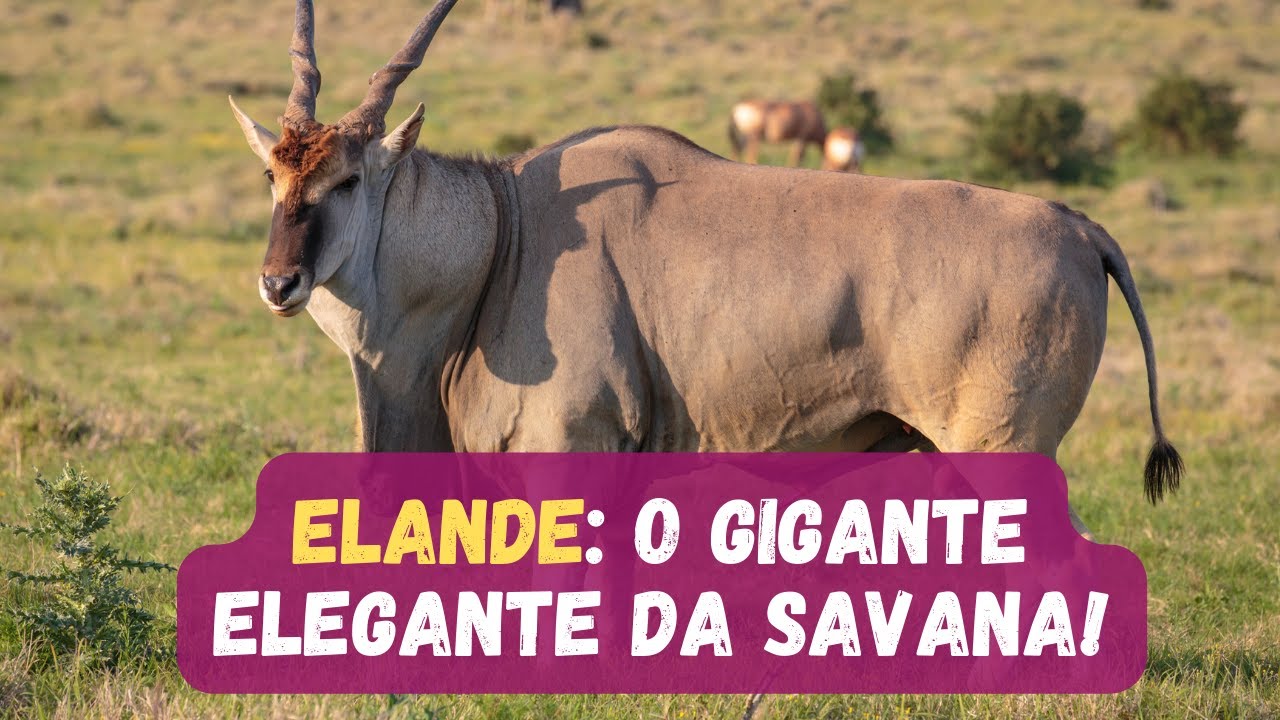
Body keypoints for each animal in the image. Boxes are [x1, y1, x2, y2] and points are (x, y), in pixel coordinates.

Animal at [229, 0, 1183, 538]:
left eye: (348, 180)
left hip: (1003, 450)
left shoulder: (568, 450)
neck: (504, 233)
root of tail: (1078, 226)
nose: (278, 283)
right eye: (273, 175)